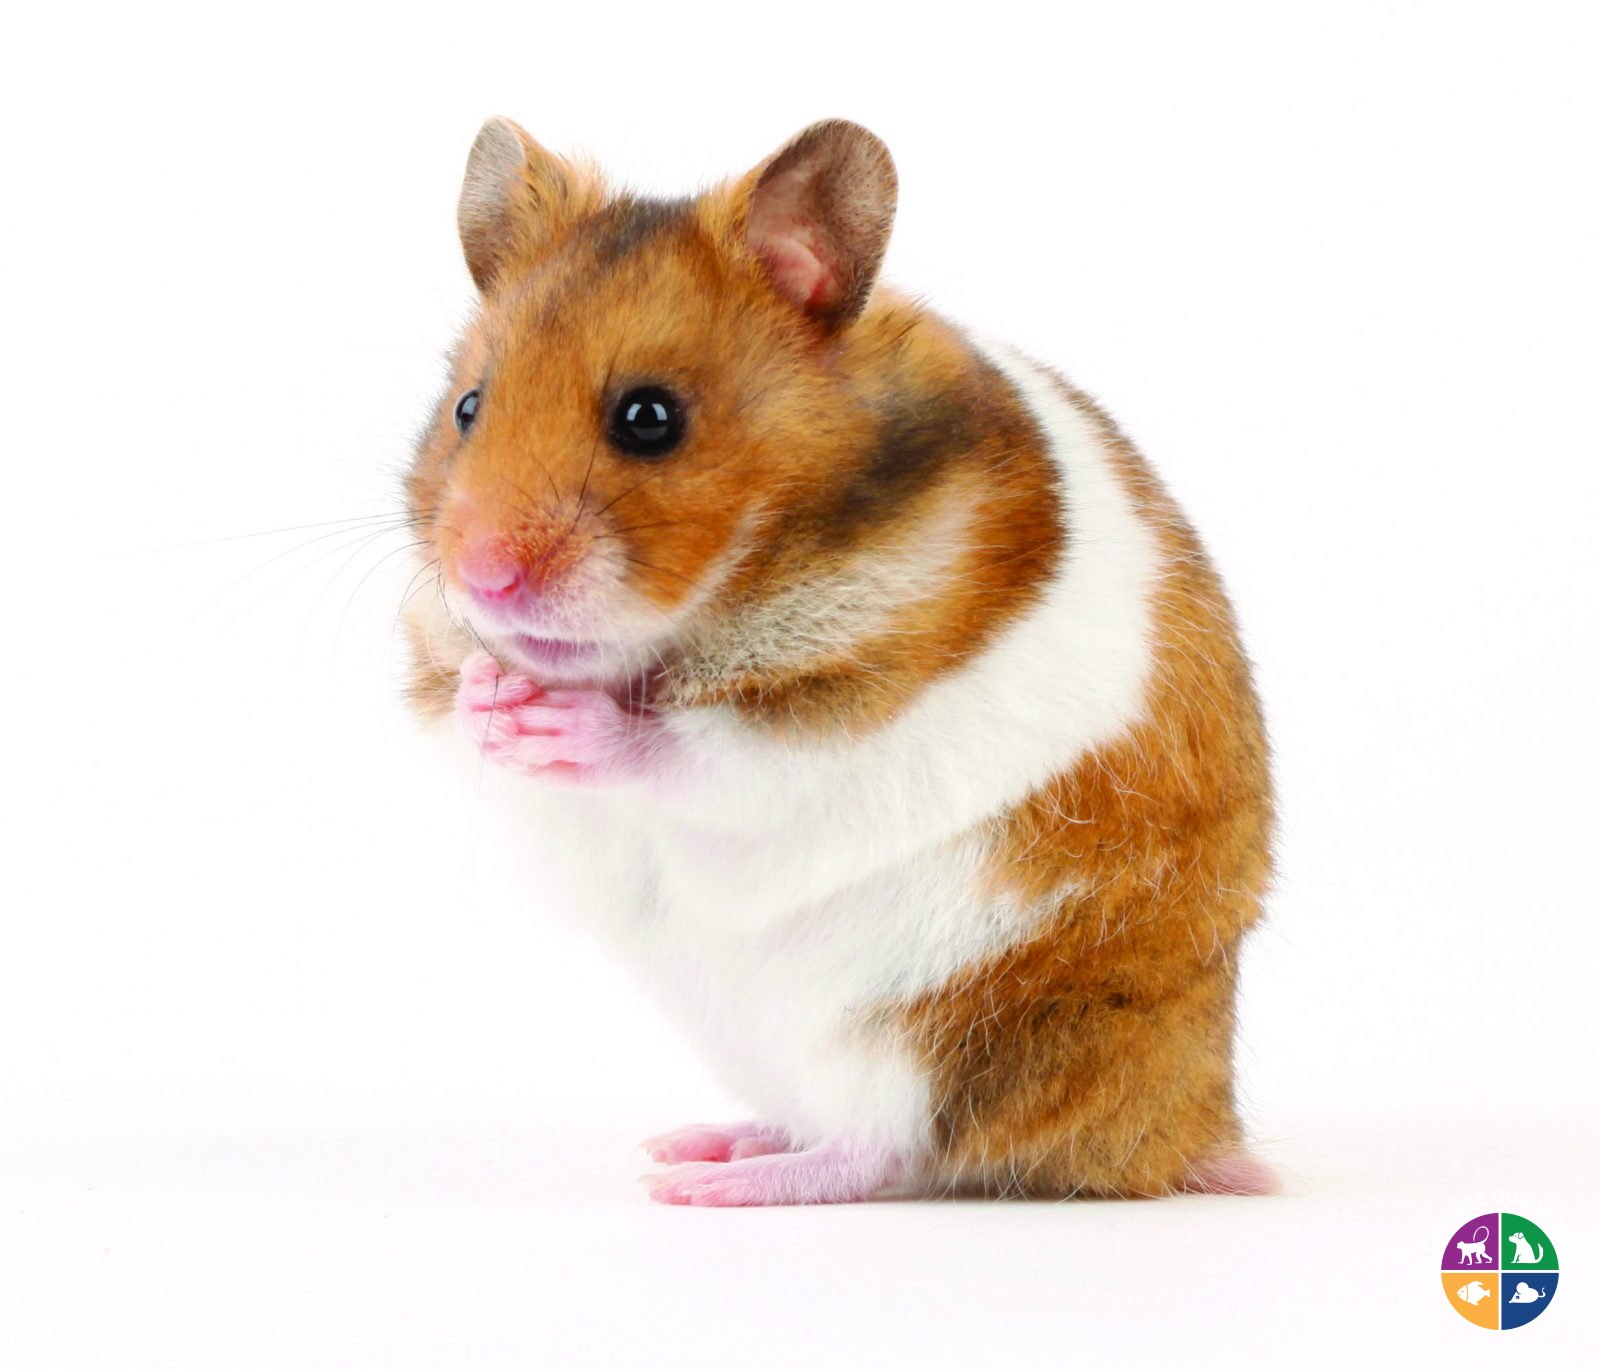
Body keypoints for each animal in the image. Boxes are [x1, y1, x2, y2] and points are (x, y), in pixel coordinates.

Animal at [401, 116, 1276, 1205]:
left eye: (649, 418)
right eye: (468, 408)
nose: (482, 577)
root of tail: (1187, 1129)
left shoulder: (834, 729)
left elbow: (692, 749)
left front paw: (567, 717)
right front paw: (489, 694)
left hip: (933, 1026)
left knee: (891, 1146)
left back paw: (709, 1187)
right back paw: (704, 1142)